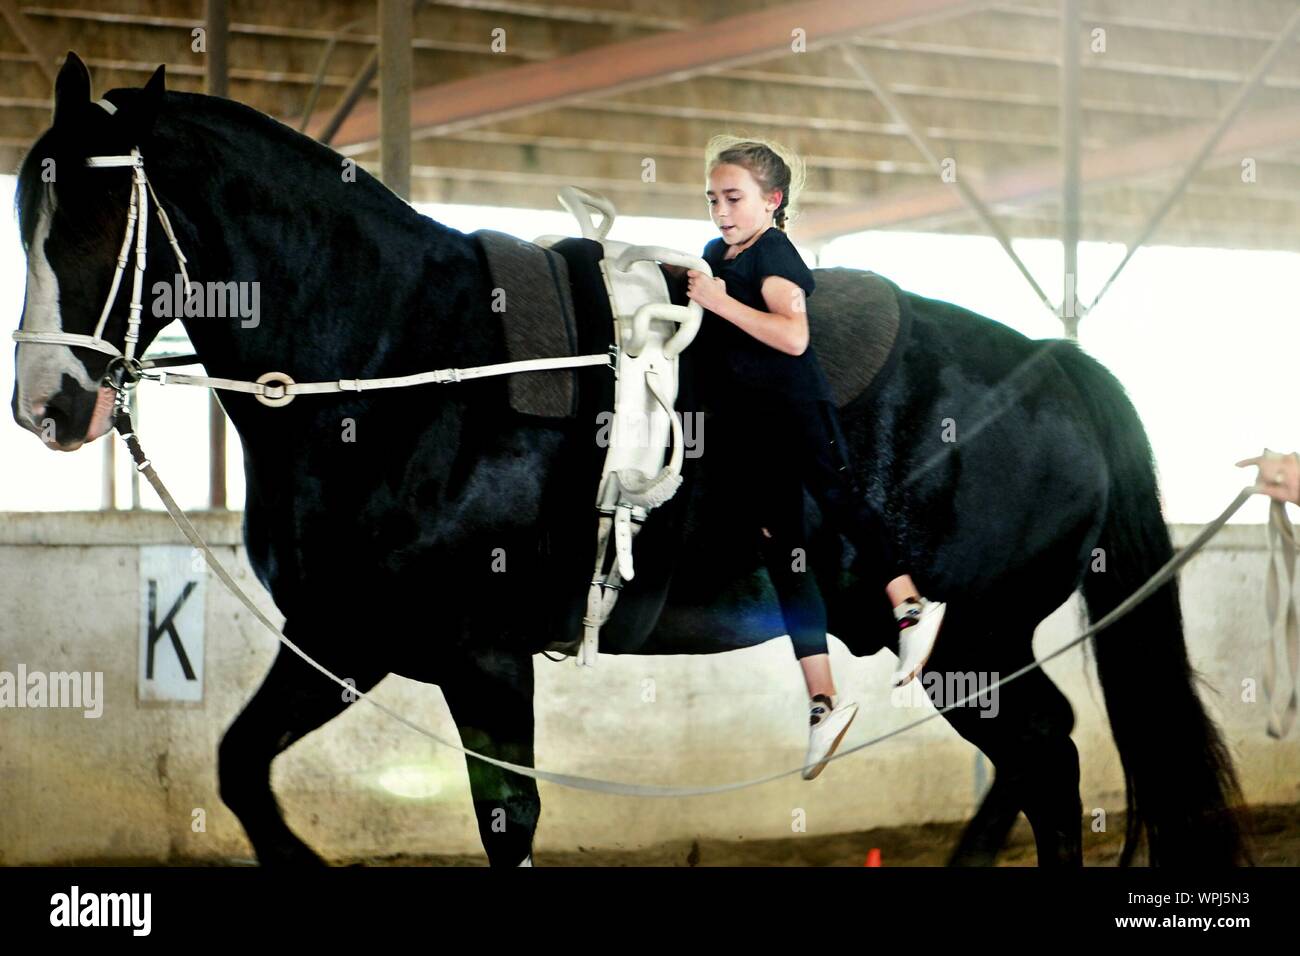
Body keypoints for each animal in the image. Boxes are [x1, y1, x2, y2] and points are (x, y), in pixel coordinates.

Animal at [10, 54, 1251, 866]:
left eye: (96, 217)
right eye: (28, 208)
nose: (45, 404)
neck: (396, 360)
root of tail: (1052, 360)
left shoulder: (481, 656)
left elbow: (506, 821)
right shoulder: (343, 639)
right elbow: (240, 772)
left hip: (973, 636)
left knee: (1046, 756)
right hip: (966, 644)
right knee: (1035, 762)